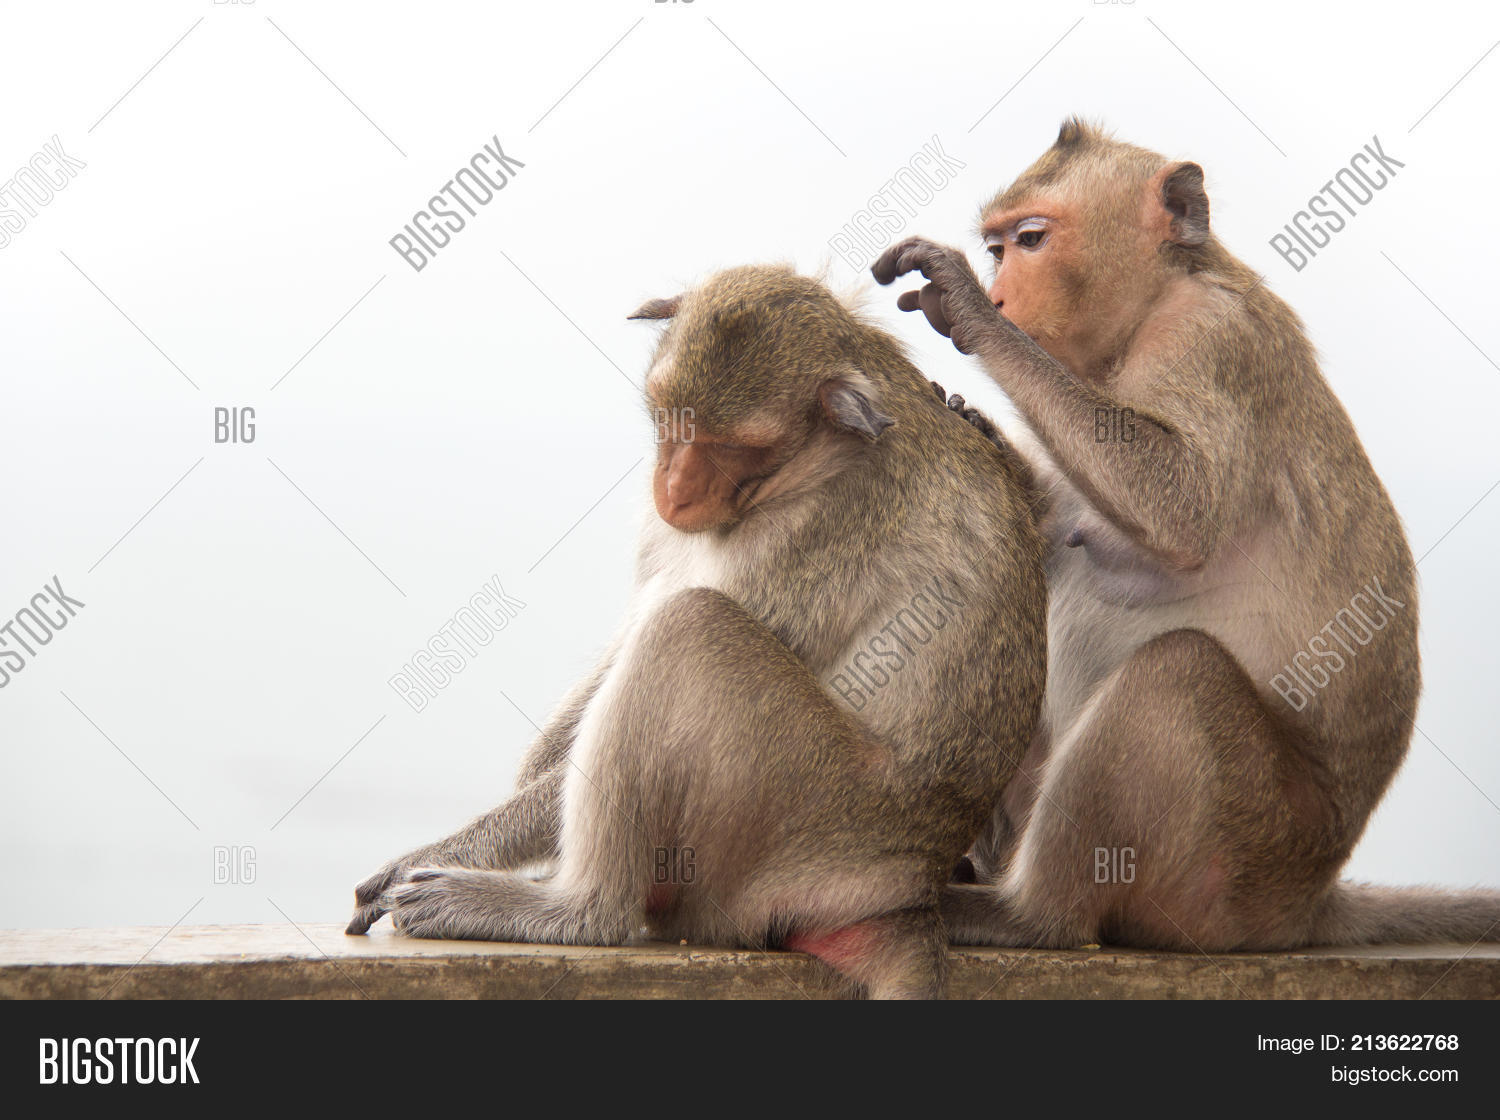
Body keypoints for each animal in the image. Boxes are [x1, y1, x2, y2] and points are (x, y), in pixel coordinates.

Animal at [346, 264, 1048, 997]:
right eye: (669, 420)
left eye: (736, 448)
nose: (675, 491)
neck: (816, 461)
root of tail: (904, 891)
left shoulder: (817, 534)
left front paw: (437, 853)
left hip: (806, 815)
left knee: (690, 626)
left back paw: (574, 910)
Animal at [874, 118, 1500, 952]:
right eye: (997, 246)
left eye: (1029, 240)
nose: (1002, 290)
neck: (1152, 305)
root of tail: (1306, 898)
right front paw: (975, 420)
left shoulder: (1207, 340)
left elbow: (1181, 510)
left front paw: (970, 310)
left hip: (1244, 855)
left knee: (1179, 670)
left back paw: (1027, 915)